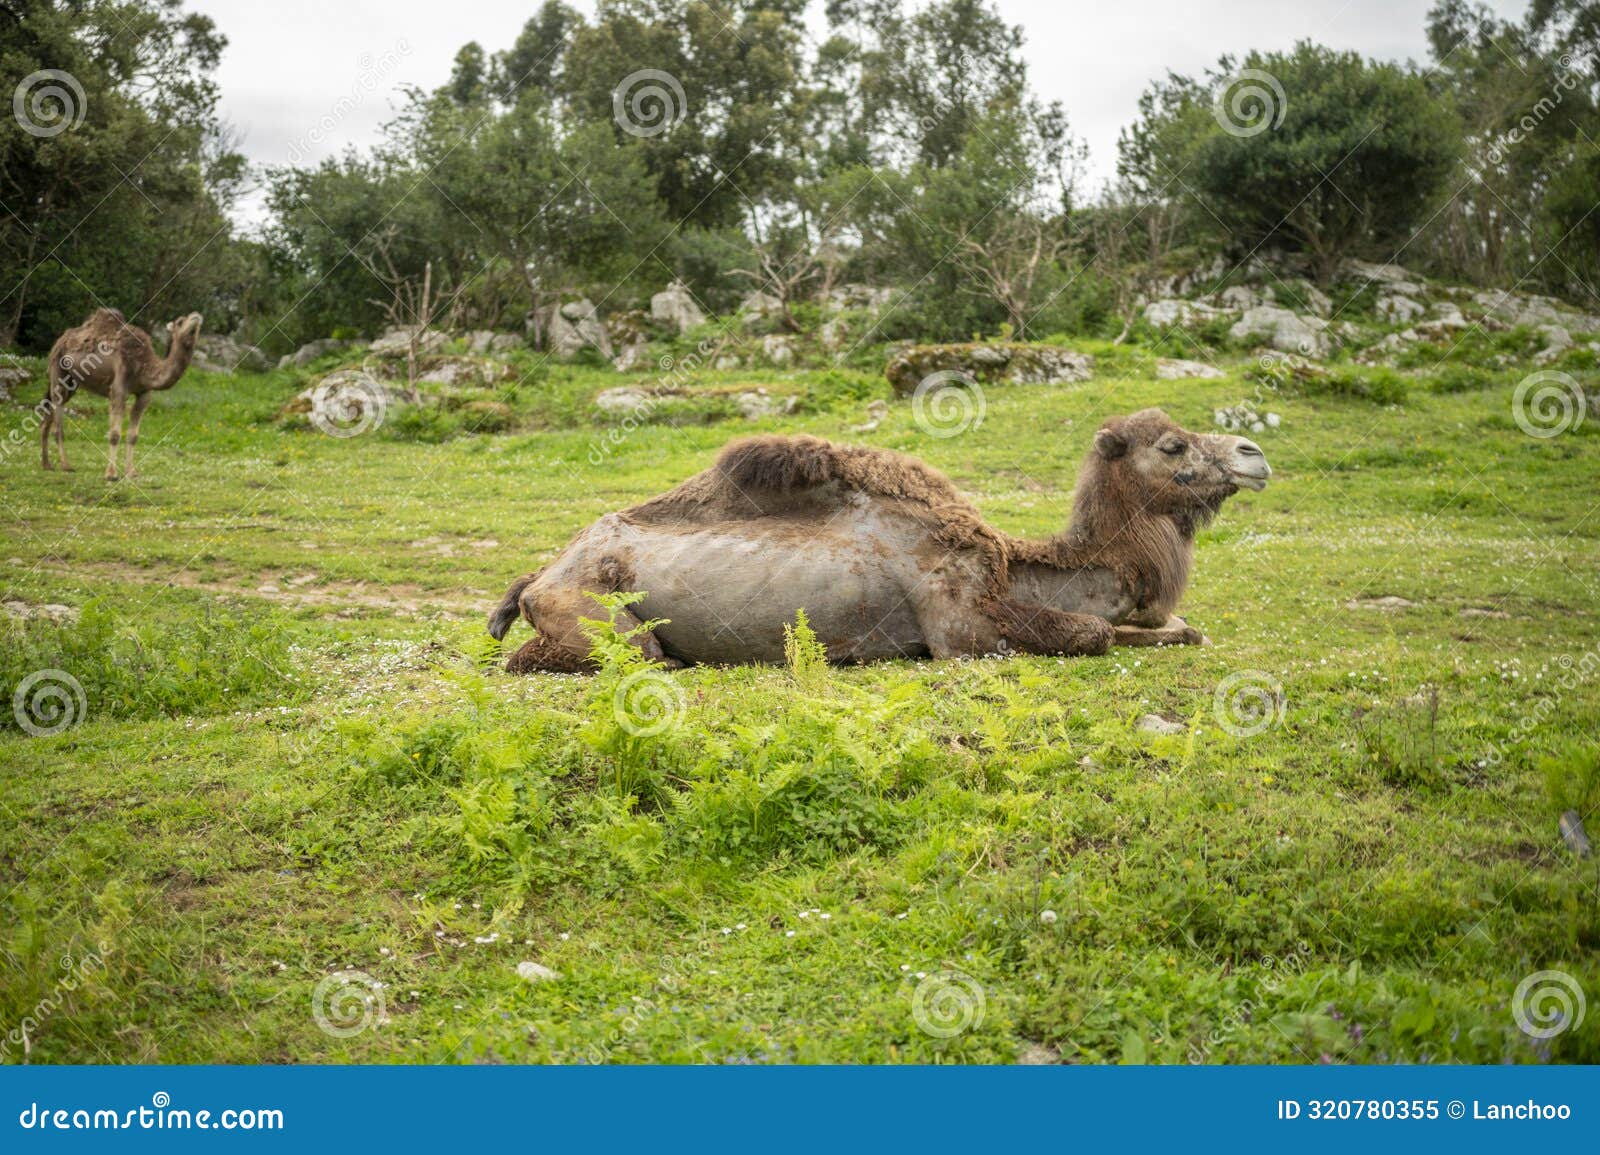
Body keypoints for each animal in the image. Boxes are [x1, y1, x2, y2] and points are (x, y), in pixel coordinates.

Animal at [40, 308, 204, 479]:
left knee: (47, 417)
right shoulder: (119, 388)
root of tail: (60, 340)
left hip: (72, 383)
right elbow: (115, 434)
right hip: (58, 371)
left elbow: (133, 436)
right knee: (58, 422)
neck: (143, 365)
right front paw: (111, 474)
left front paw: (131, 472)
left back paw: (46, 464)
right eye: (180, 322)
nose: (196, 316)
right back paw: (66, 466)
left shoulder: (144, 394)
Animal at [489, 408, 1270, 671]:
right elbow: (1093, 631)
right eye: (1172, 445)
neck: (1012, 564)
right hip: (595, 608)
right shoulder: (960, 623)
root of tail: (539, 574)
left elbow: (1181, 627)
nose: (1253, 452)